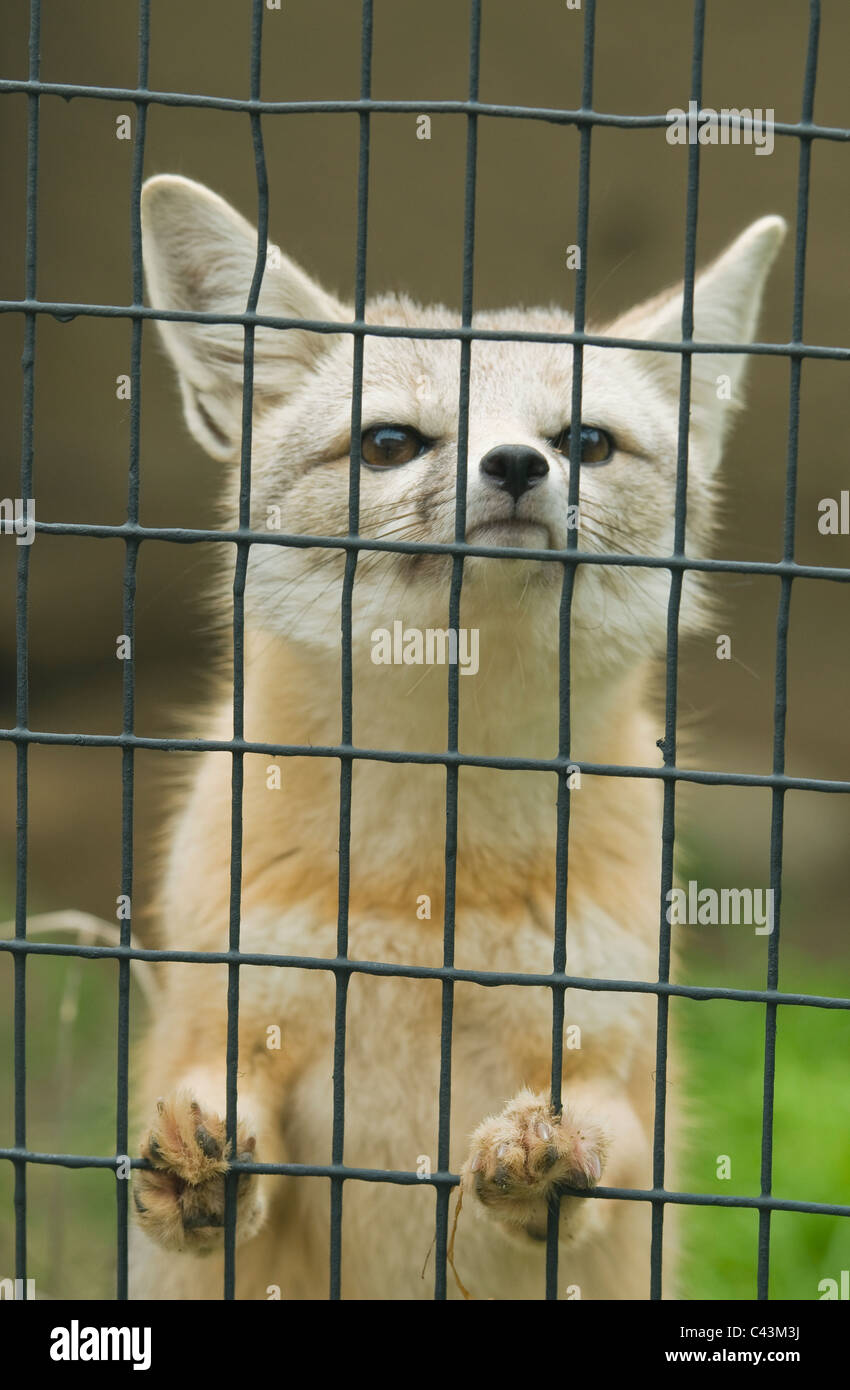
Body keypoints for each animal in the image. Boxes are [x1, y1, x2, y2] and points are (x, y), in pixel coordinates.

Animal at [130, 173, 785, 1300]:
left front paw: (549, 1156)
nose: (517, 463)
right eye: (391, 442)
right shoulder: (229, 1023)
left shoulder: (605, 1071)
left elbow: (592, 1146)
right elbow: (215, 1120)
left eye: (585, 442)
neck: (427, 892)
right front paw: (194, 1167)